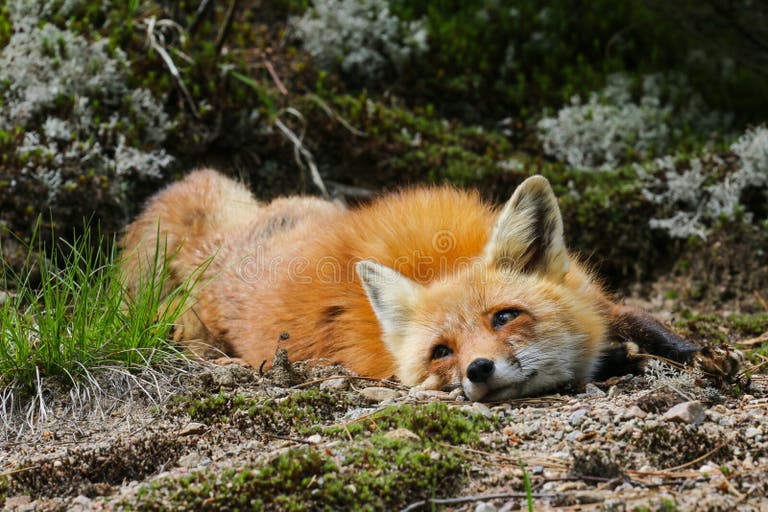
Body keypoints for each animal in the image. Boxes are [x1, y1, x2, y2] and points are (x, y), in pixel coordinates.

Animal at [120, 169, 742, 401]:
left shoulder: (600, 300)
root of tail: (220, 247)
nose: (479, 370)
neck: (435, 262)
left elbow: (638, 320)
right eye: (442, 352)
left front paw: (695, 354)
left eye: (504, 316)